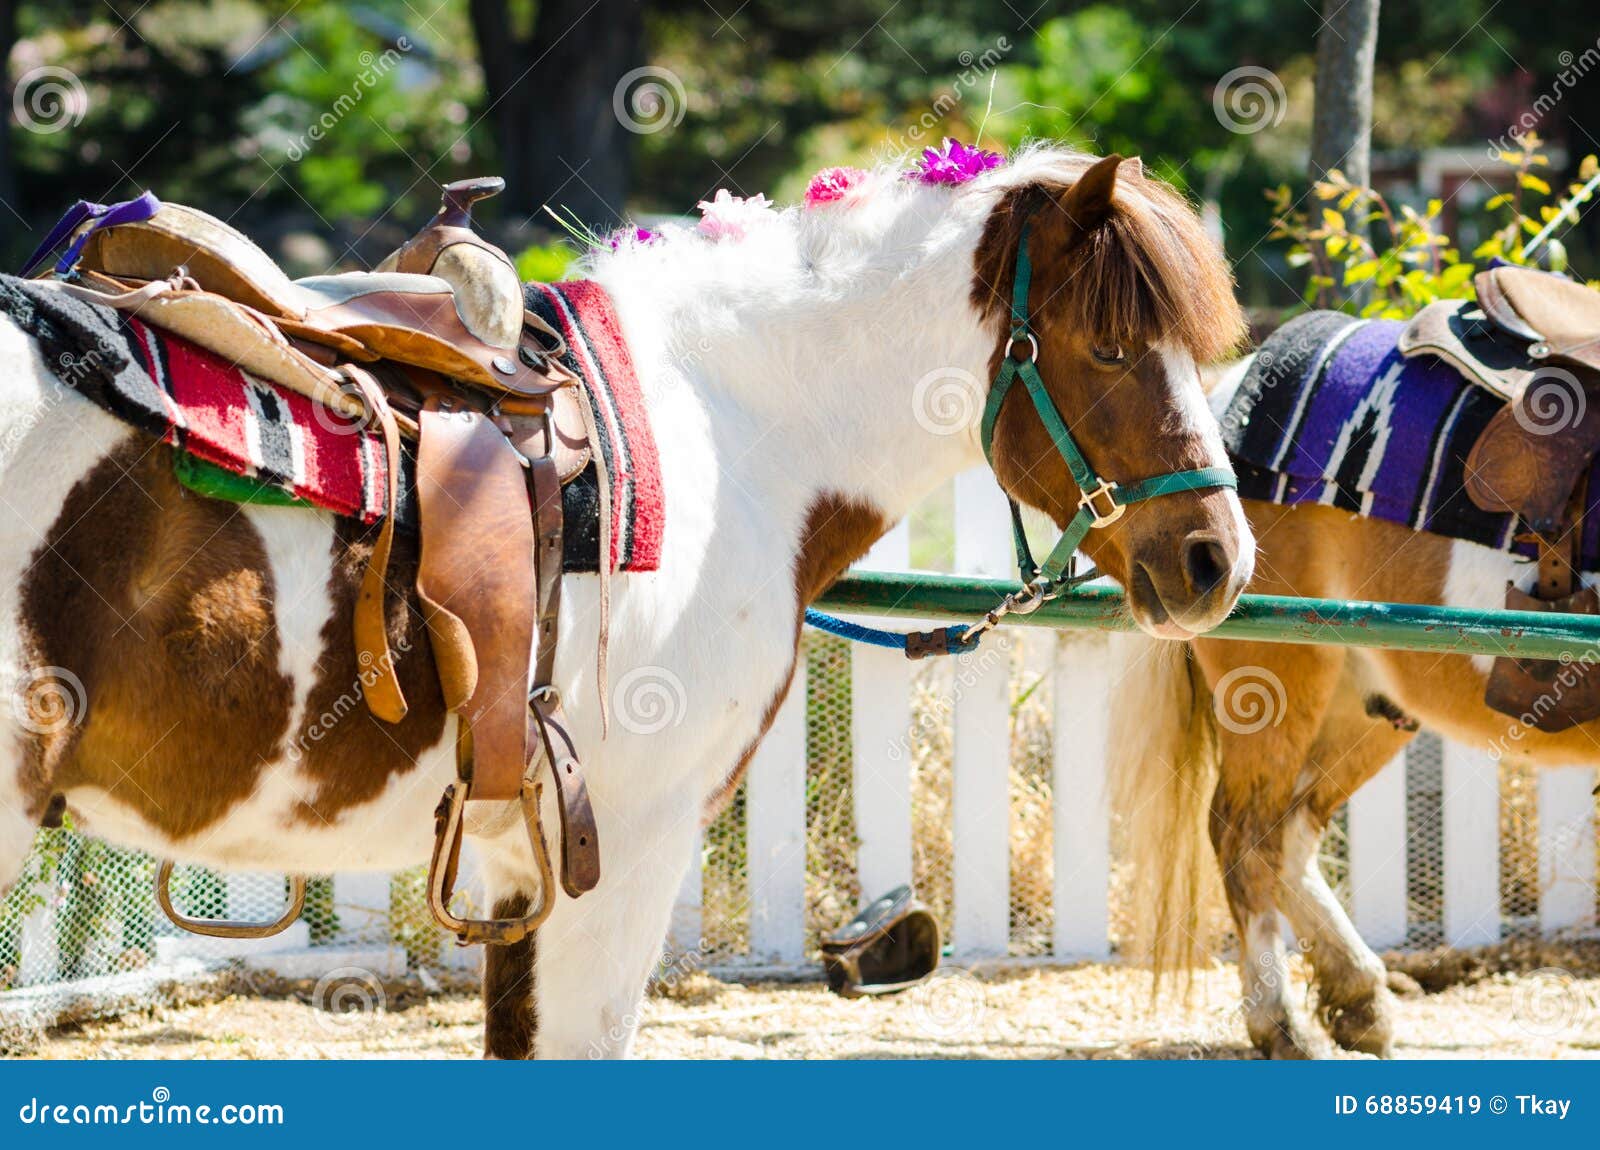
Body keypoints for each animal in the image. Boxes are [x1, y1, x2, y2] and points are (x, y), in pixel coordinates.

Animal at [1110, 338, 1600, 1060]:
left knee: (1289, 835)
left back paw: (1358, 996)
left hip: (1364, 710)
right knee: (1243, 835)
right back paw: (1281, 1024)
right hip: (1276, 685)